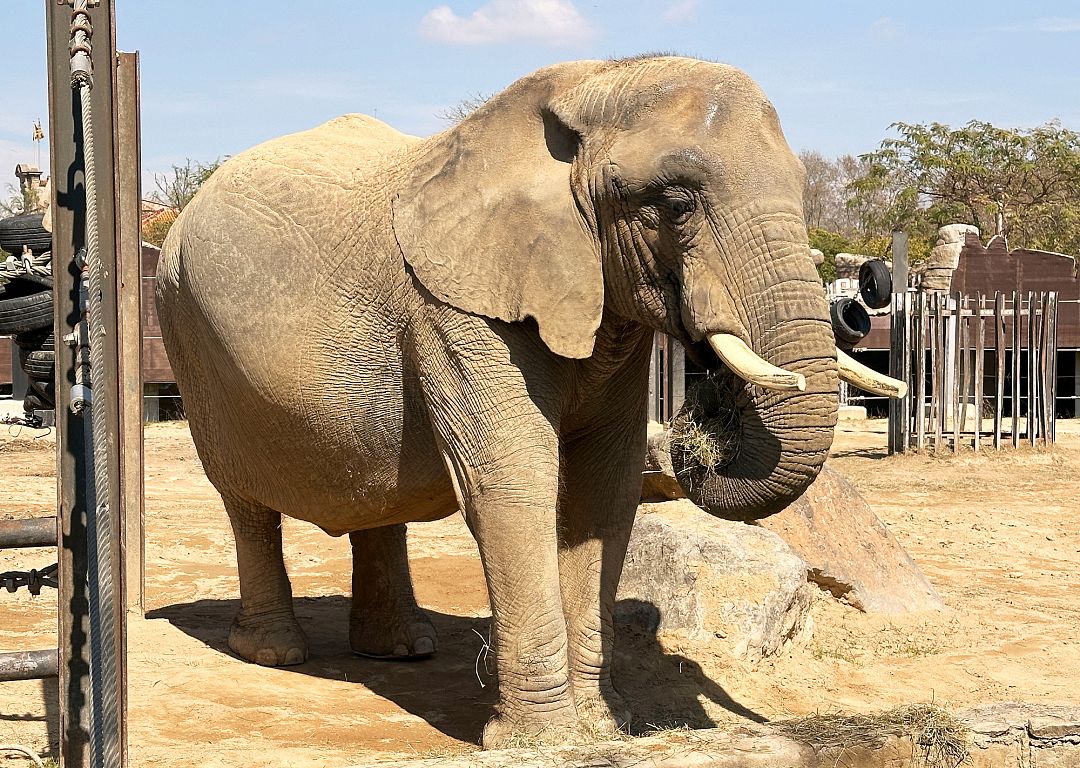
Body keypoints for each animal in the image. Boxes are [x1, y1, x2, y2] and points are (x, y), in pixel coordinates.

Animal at [156, 55, 902, 747]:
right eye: (675, 203)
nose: (707, 414)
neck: (588, 87)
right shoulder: (455, 307)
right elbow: (515, 480)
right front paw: (543, 740)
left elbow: (603, 487)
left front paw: (606, 726)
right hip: (188, 334)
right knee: (243, 501)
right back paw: (273, 651)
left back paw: (401, 649)